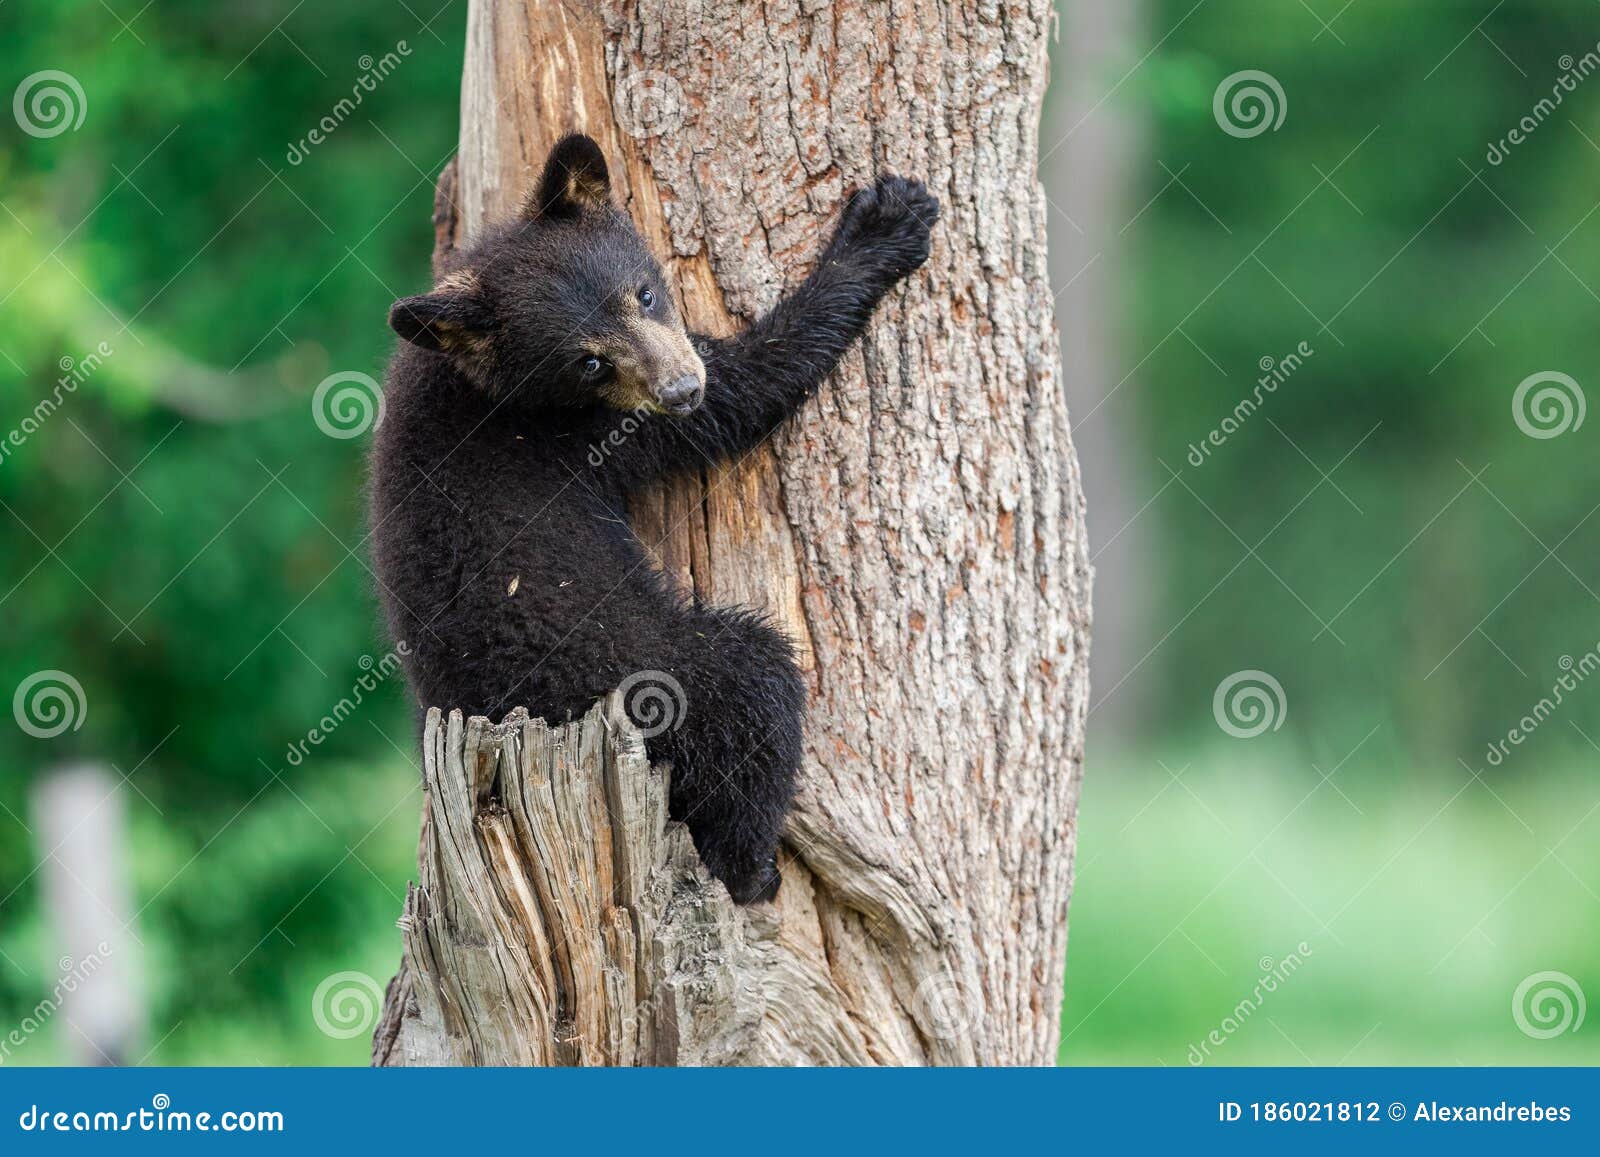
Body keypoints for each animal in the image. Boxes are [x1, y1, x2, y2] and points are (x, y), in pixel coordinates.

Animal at [368, 134, 937, 903]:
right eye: (588, 362)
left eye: (642, 292)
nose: (681, 387)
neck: (479, 383)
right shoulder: (596, 429)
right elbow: (751, 388)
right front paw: (883, 227)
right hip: (659, 674)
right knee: (755, 692)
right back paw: (751, 867)